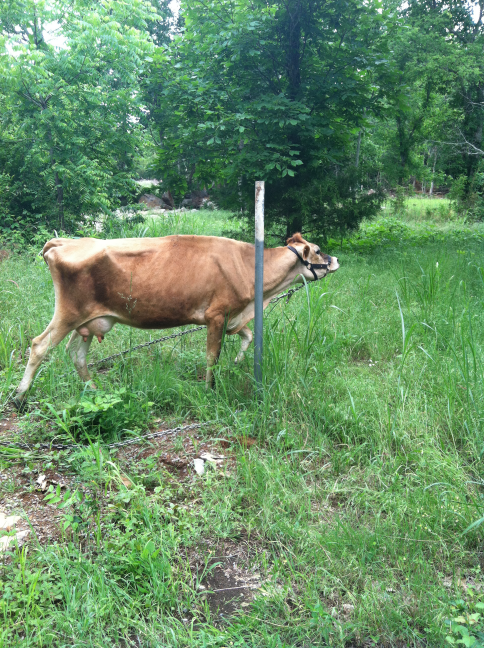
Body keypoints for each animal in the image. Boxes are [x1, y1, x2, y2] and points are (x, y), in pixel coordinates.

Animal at [13, 232, 339, 406]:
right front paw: (209, 390)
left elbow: (246, 337)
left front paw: (237, 362)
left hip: (89, 321)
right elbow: (212, 357)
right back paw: (19, 396)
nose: (335, 260)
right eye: (318, 250)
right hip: (68, 313)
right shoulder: (217, 314)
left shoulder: (234, 316)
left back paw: (95, 391)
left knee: (75, 354)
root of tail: (63, 242)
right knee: (39, 345)